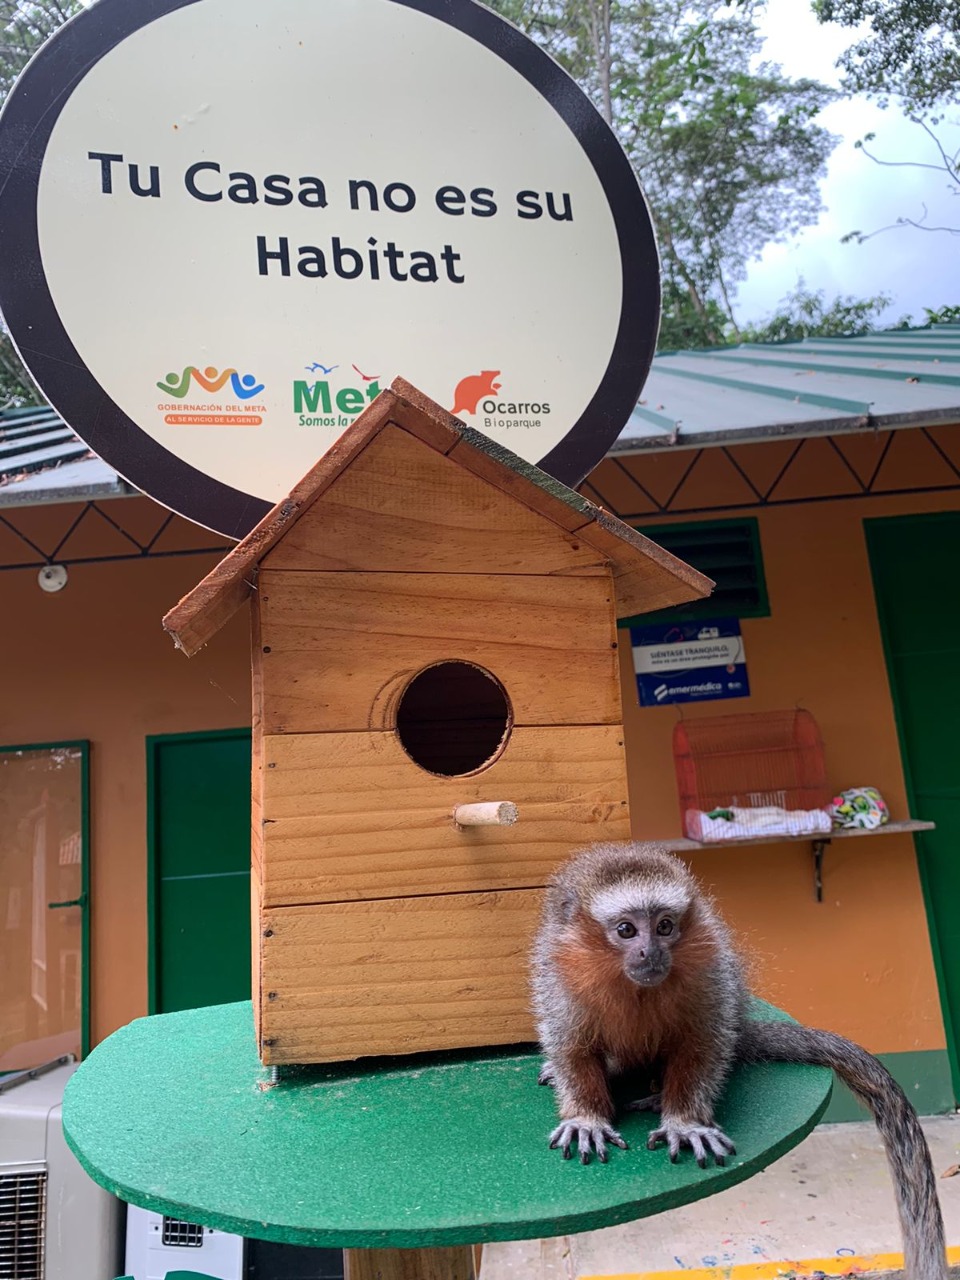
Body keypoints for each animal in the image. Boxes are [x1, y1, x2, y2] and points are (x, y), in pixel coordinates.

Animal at [532, 841, 946, 1280]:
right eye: (627, 930)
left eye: (665, 927)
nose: (651, 951)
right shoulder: (560, 976)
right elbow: (570, 1047)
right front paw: (586, 1119)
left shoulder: (708, 969)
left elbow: (704, 1044)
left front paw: (685, 1123)